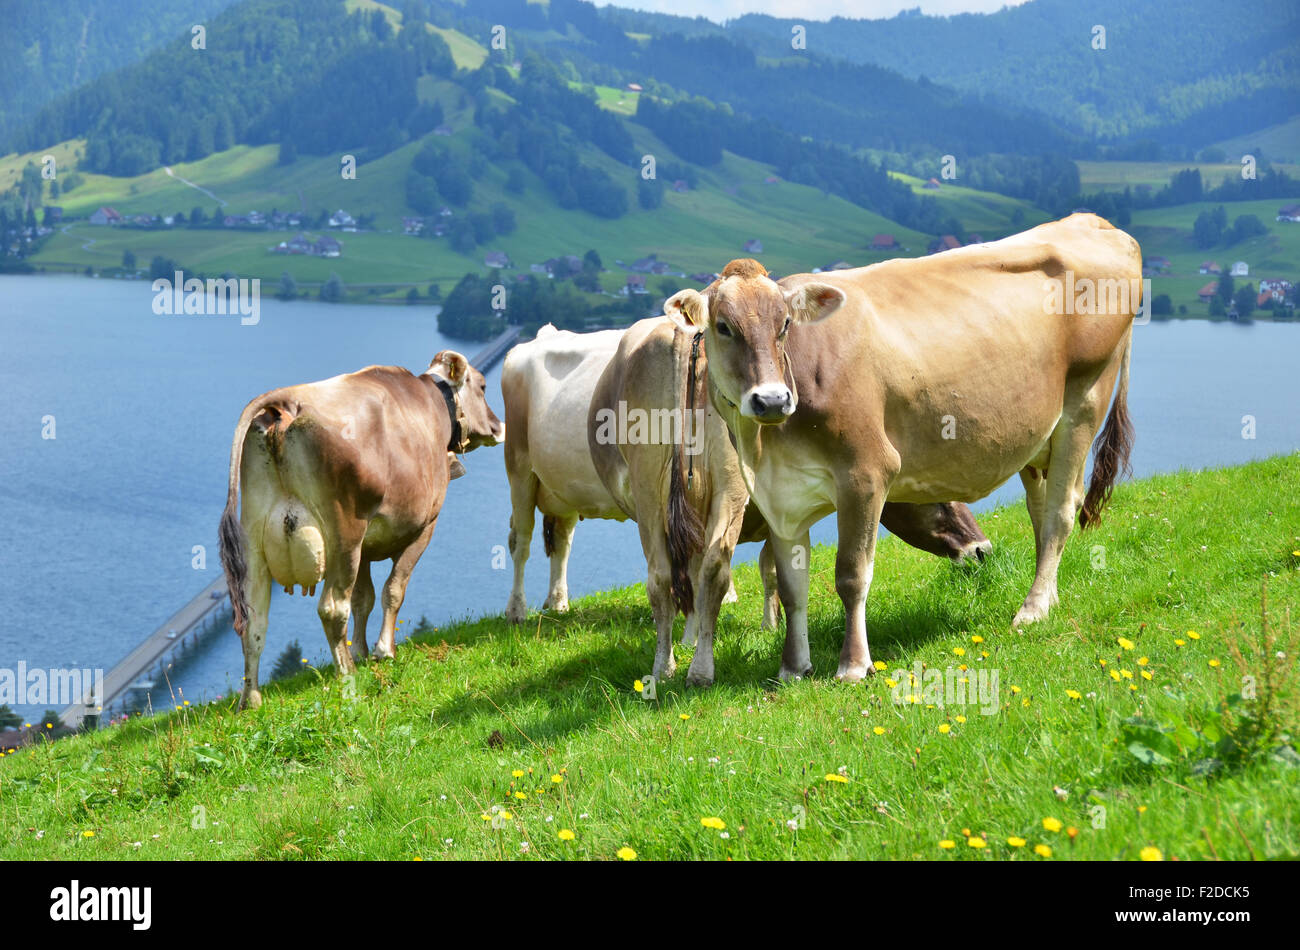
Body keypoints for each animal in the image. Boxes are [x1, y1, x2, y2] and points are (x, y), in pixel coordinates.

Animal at [218, 351, 504, 710]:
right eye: (483, 386)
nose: (498, 426)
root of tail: (289, 401)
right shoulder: (424, 527)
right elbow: (393, 590)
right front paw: (383, 651)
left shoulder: (366, 547)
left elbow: (363, 599)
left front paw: (363, 651)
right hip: (344, 533)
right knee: (331, 607)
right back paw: (347, 675)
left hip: (254, 539)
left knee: (254, 618)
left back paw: (251, 699)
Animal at [588, 316, 994, 686]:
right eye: (940, 498)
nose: (983, 550)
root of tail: (689, 336)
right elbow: (768, 569)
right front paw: (770, 626)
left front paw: (696, 638)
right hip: (727, 485)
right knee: (713, 570)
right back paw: (700, 670)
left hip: (649, 491)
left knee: (664, 576)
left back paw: (665, 669)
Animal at [664, 214, 1137, 683]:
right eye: (723, 327)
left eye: (784, 325)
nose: (773, 399)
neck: (766, 446)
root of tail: (1094, 222)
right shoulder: (778, 493)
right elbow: (792, 584)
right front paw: (793, 667)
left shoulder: (866, 472)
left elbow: (851, 575)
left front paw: (854, 664)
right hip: (1039, 435)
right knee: (1039, 510)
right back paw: (1048, 596)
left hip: (1085, 399)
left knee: (1062, 509)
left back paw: (1033, 609)